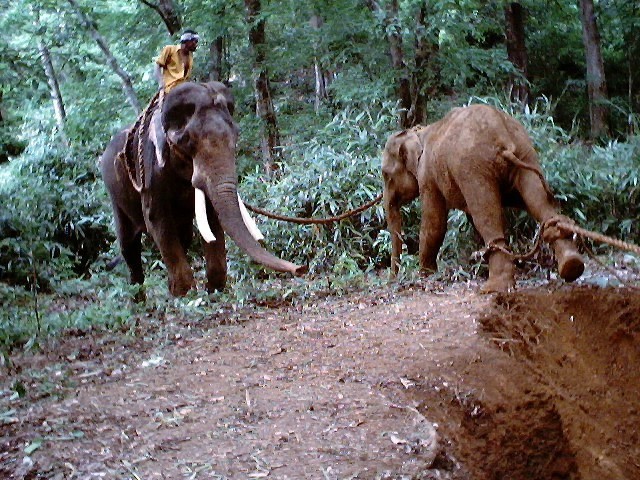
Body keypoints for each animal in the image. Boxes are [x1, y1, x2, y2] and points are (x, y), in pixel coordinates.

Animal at [100, 81, 306, 297]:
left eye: (236, 135)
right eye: (187, 141)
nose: (301, 268)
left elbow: (212, 216)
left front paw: (213, 290)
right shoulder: (151, 172)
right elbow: (157, 220)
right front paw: (183, 293)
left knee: (184, 236)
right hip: (115, 194)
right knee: (129, 245)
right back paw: (138, 294)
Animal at [382, 104, 584, 293]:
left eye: (386, 175)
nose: (392, 280)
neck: (418, 131)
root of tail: (502, 136)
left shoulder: (427, 176)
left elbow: (434, 223)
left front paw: (425, 275)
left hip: (473, 168)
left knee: (485, 214)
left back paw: (493, 287)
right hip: (526, 154)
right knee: (537, 200)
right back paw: (571, 265)